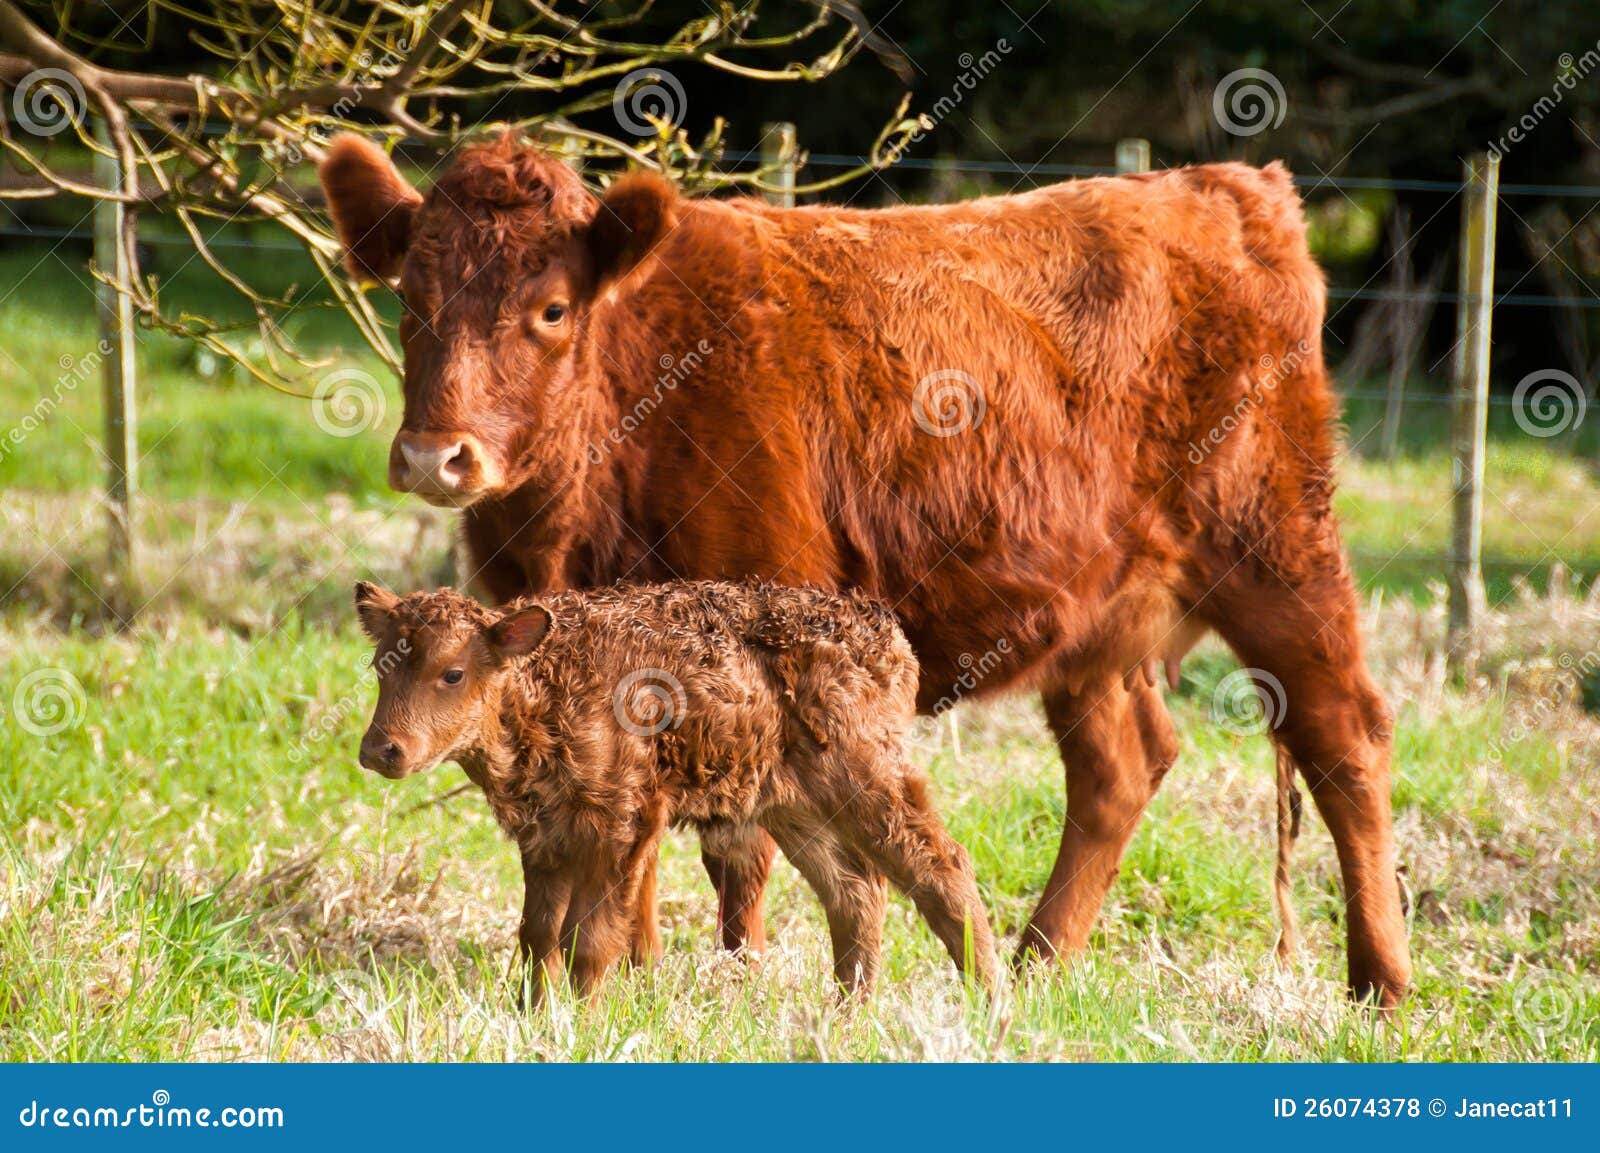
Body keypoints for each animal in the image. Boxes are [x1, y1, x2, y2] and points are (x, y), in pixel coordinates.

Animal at [319, 132, 1412, 1006]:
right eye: (409, 298)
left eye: (550, 309)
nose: (436, 455)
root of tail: (1222, 185)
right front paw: (635, 969)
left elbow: (733, 849)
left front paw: (730, 974)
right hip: (1098, 617)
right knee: (1120, 762)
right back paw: (1038, 961)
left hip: (1278, 554)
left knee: (1343, 738)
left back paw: (1381, 980)